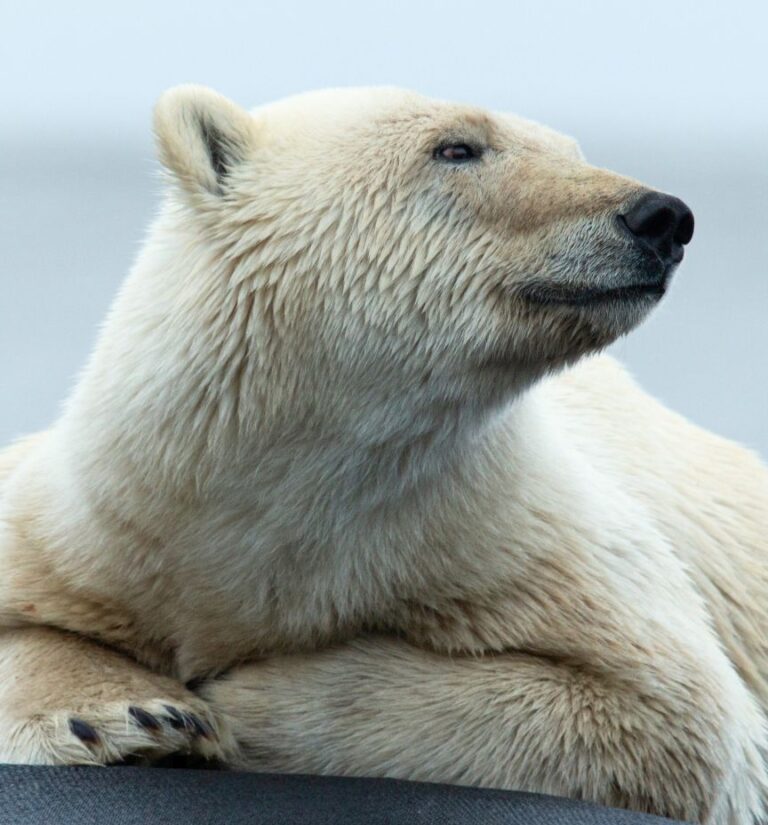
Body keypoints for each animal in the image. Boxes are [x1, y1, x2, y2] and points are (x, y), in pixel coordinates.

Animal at [0, 84, 766, 823]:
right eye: (457, 147)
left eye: (571, 149)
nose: (660, 216)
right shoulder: (101, 521)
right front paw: (129, 716)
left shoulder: (511, 539)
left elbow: (664, 715)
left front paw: (243, 698)